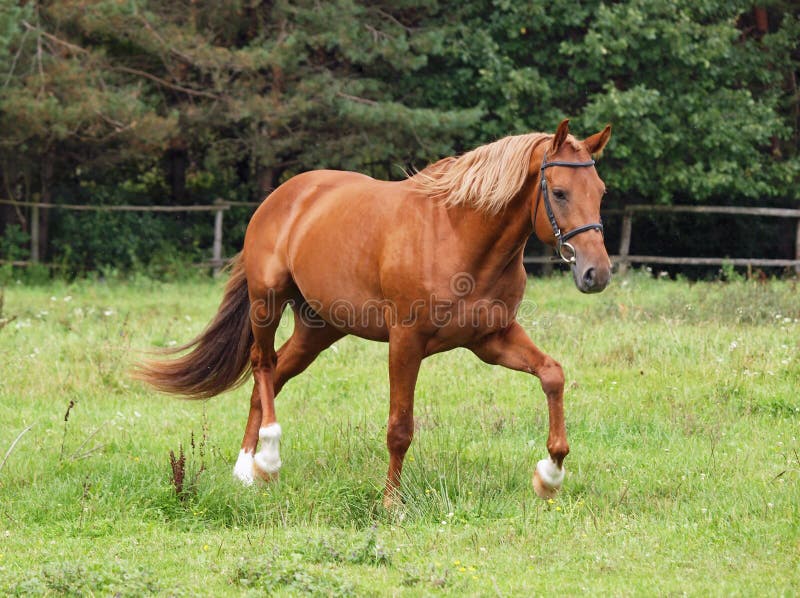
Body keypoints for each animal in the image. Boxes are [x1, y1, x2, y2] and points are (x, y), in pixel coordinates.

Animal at [135, 119, 612, 506]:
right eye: (559, 192)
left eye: (601, 193)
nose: (597, 273)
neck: (458, 237)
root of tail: (283, 196)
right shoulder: (406, 342)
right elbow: (400, 428)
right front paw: (390, 503)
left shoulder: (491, 340)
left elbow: (552, 374)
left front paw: (549, 475)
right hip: (266, 302)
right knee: (262, 364)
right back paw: (267, 457)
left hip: (319, 328)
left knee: (273, 376)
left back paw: (247, 470)